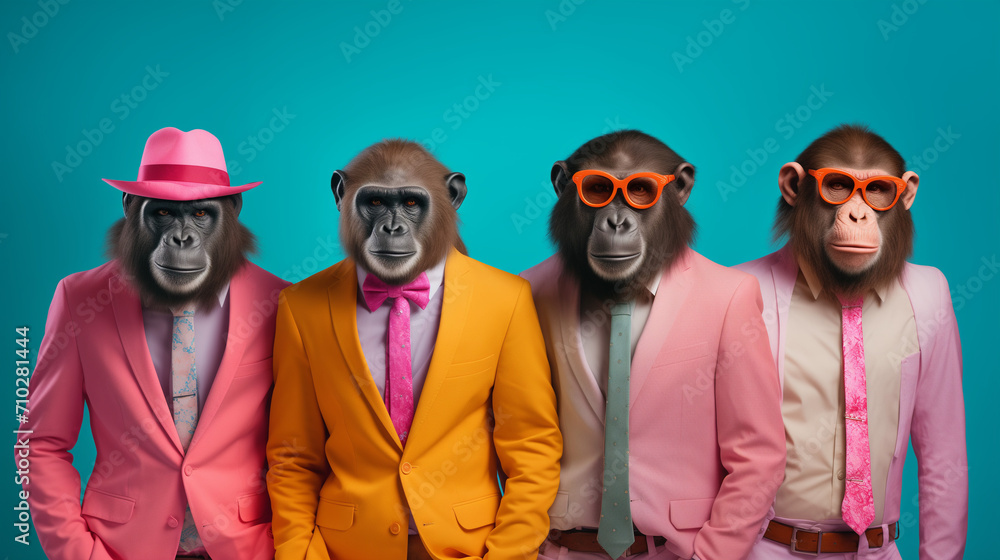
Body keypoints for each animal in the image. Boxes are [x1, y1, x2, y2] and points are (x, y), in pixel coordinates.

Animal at [737, 124, 967, 558]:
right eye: (838, 186)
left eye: (877, 190)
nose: (858, 214)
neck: (844, 291)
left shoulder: (941, 305)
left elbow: (943, 456)